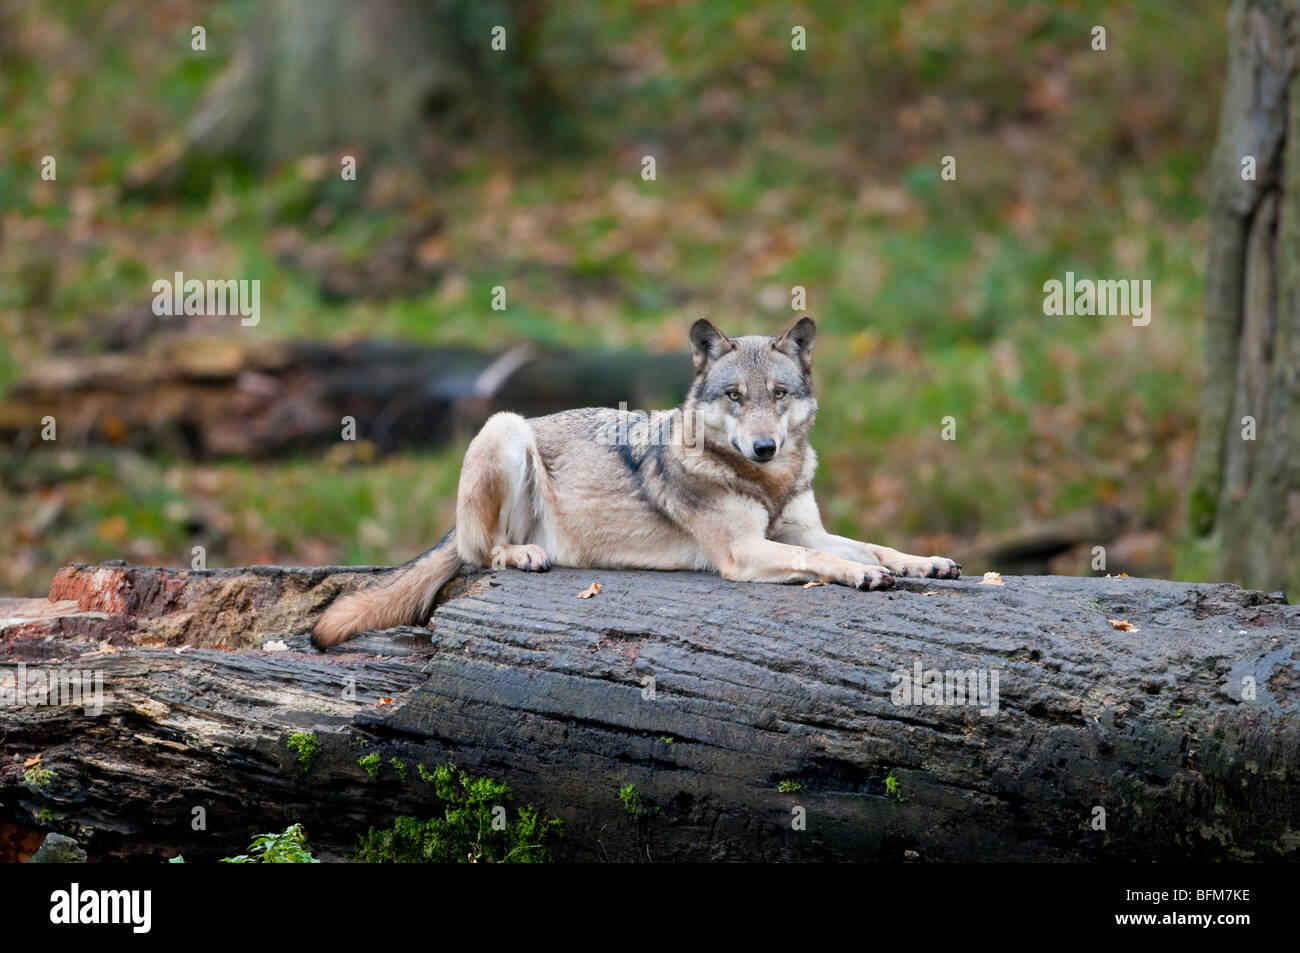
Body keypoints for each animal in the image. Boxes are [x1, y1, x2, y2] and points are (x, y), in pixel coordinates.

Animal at [312, 316, 961, 647]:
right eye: (734, 396)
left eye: (778, 395)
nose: (765, 447)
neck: (766, 480)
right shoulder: (745, 550)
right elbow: (834, 561)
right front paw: (863, 575)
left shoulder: (800, 530)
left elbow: (871, 544)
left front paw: (925, 562)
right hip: (505, 427)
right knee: (480, 552)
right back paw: (522, 554)